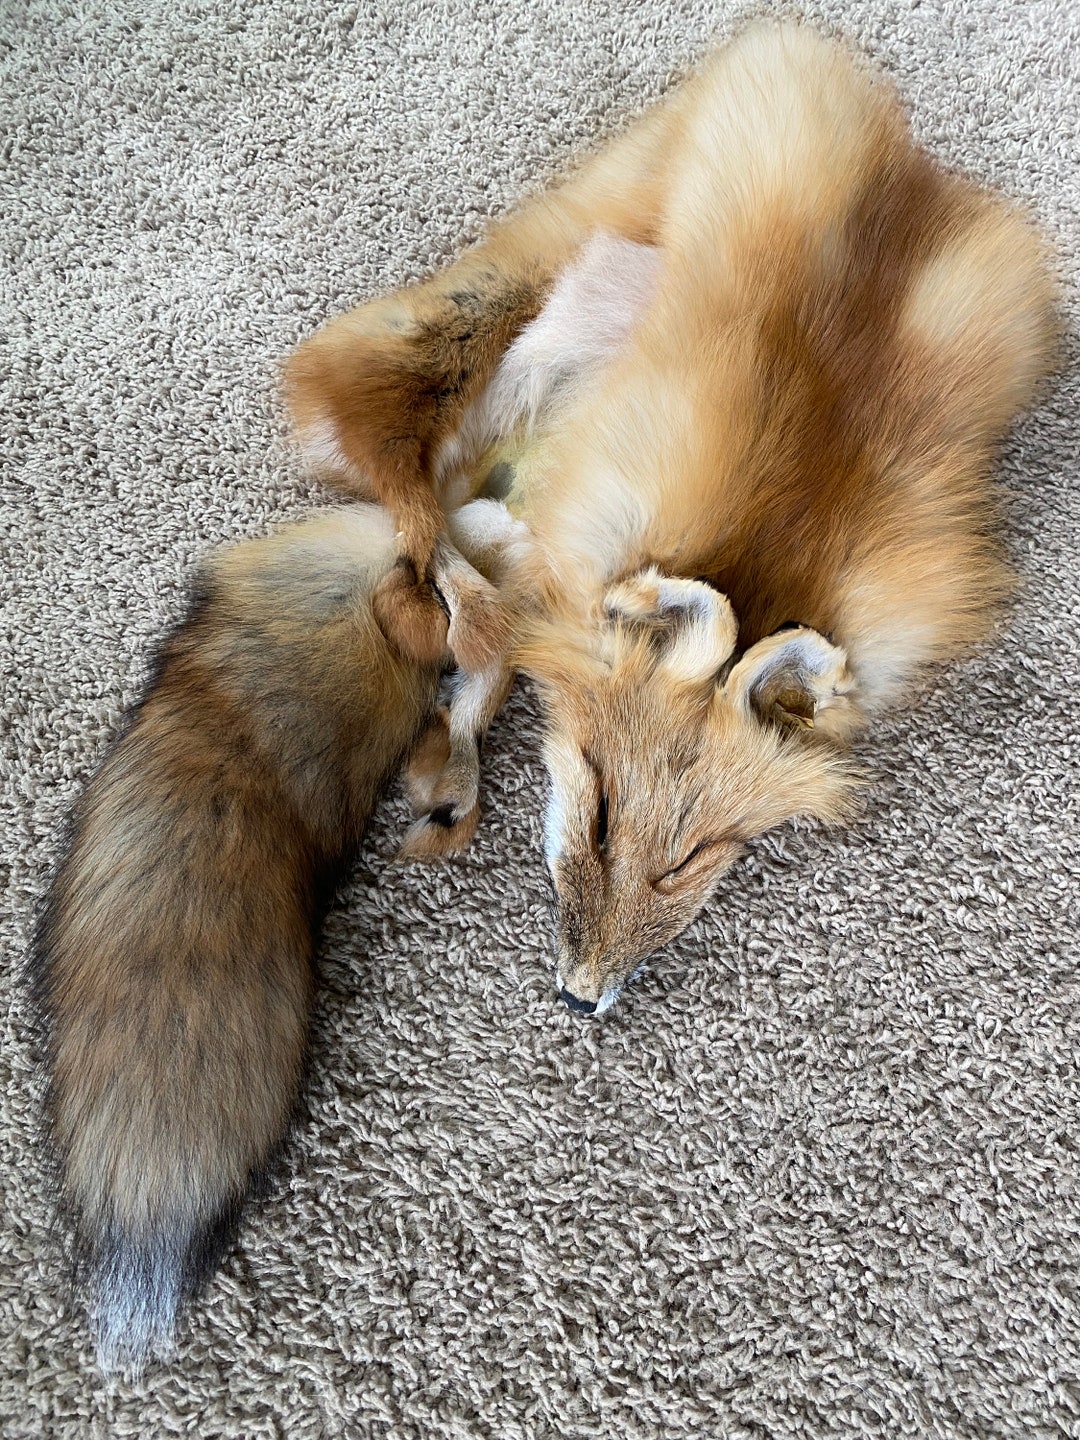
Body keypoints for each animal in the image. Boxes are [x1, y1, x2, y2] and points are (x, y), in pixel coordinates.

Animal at [288, 21, 1057, 1014]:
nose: (582, 997)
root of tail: (915, 159)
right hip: (583, 277)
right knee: (381, 426)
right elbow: (485, 584)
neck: (769, 551)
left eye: (687, 859)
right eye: (602, 816)